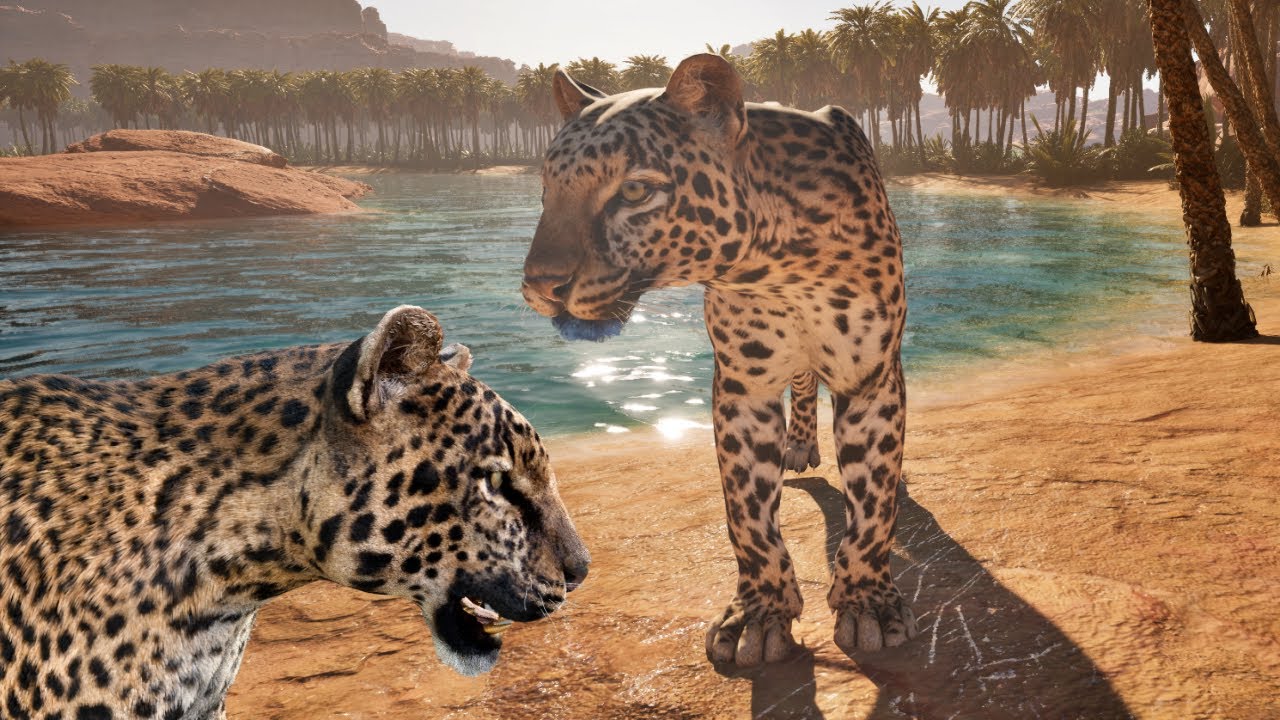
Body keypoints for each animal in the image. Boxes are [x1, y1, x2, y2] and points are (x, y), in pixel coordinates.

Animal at [521, 53, 916, 668]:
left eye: (635, 192)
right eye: (546, 193)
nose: (541, 284)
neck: (777, 265)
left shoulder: (869, 378)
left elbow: (873, 505)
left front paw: (868, 603)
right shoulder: (744, 386)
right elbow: (748, 515)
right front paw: (759, 615)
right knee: (803, 384)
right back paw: (799, 446)